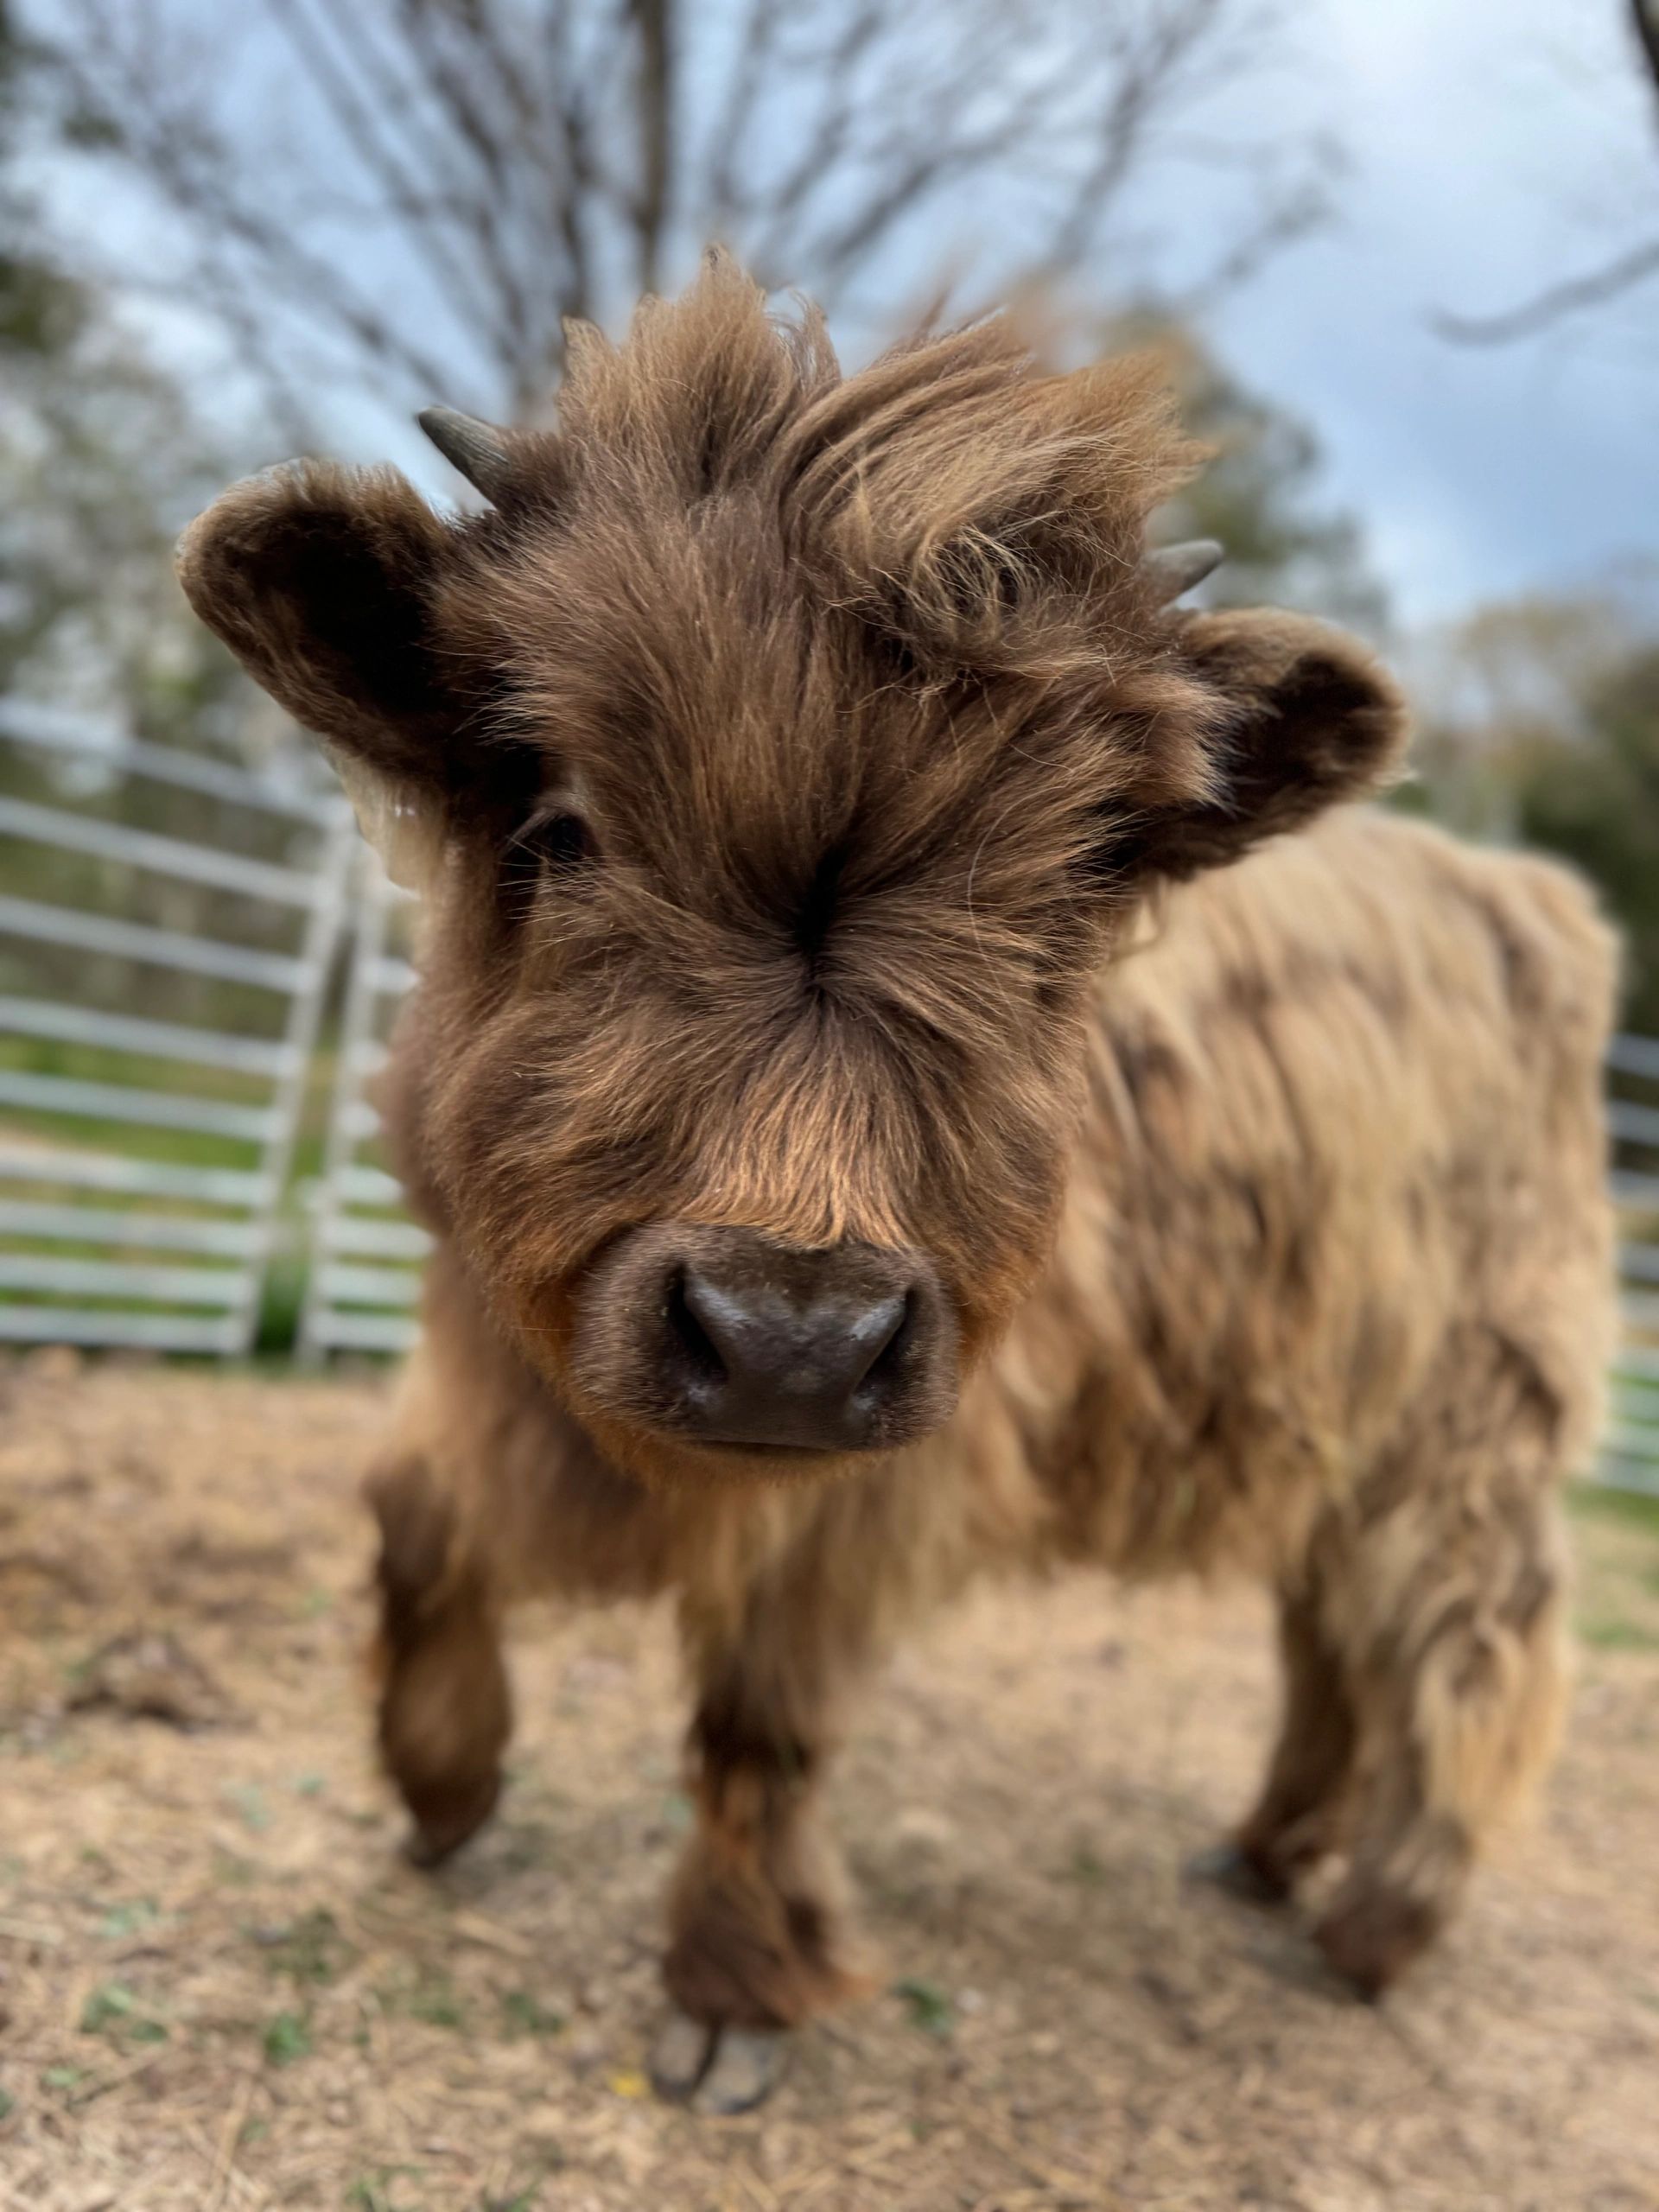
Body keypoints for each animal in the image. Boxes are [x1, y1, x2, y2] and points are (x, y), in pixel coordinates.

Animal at [178, 254, 1616, 2115]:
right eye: (560, 830)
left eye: (1067, 902)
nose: (789, 1335)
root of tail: (1522, 896)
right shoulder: (490, 1337)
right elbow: (413, 1516)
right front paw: (440, 1789)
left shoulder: (880, 1469)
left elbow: (760, 1716)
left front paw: (728, 1988)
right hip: (1330, 1394)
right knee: (1329, 1628)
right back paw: (1263, 1852)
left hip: (1471, 1414)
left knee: (1460, 1624)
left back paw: (1380, 1920)